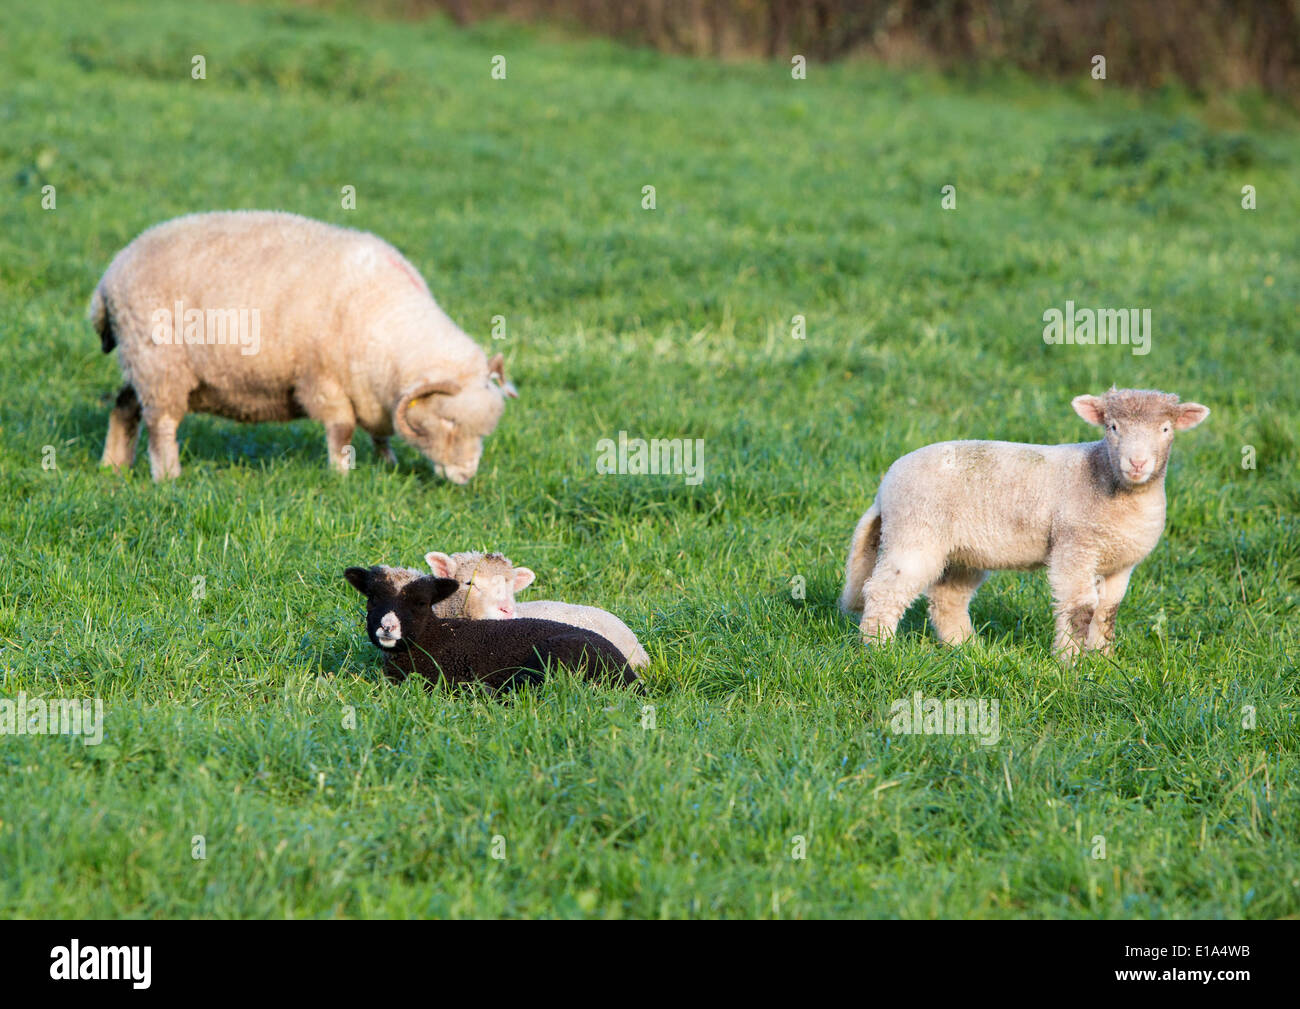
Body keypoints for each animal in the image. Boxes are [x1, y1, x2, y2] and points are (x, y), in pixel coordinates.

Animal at [91, 210, 517, 483]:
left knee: (124, 406)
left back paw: (113, 466)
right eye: (448, 422)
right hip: (158, 362)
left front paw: (387, 464)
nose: (465, 476)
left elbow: (382, 433)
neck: (389, 326)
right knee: (160, 423)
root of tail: (112, 271)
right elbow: (342, 430)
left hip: (142, 363)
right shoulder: (322, 380)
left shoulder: (372, 392)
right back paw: (168, 477)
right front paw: (342, 475)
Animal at [839, 388, 1210, 657]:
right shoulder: (1074, 547)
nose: (1137, 463)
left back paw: (967, 648)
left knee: (948, 599)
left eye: (1165, 429)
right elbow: (1079, 608)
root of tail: (884, 488)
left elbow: (1107, 611)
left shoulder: (1120, 562)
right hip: (914, 533)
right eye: (1113, 427)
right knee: (884, 591)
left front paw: (1104, 659)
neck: (1106, 478)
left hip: (960, 551)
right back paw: (878, 648)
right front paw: (1070, 663)